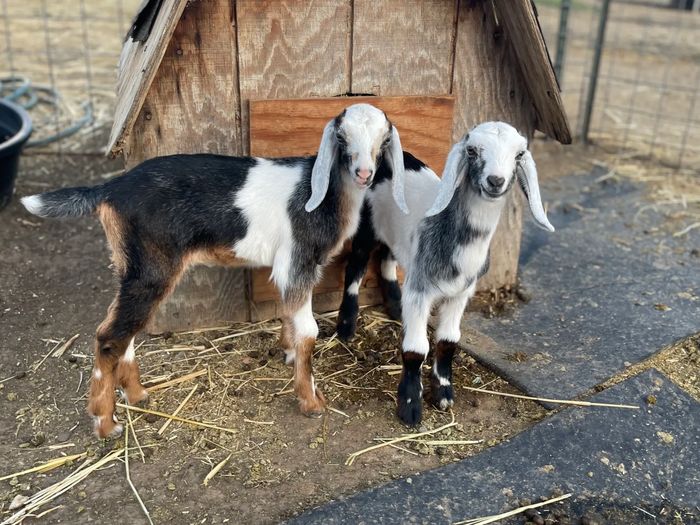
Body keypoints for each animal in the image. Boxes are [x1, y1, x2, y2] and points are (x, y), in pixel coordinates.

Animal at [21, 103, 407, 438]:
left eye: (384, 139)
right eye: (341, 137)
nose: (363, 173)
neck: (322, 192)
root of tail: (110, 189)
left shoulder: (289, 268)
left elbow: (287, 314)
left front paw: (287, 354)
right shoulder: (299, 261)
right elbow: (309, 331)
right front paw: (311, 401)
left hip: (131, 265)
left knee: (124, 328)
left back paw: (136, 395)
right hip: (153, 266)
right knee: (109, 335)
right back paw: (105, 423)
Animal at [336, 122, 554, 425]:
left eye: (519, 153)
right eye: (472, 150)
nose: (495, 181)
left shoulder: (461, 294)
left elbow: (449, 341)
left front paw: (444, 394)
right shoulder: (420, 290)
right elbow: (416, 349)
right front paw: (410, 407)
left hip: (398, 236)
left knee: (387, 258)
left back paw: (396, 306)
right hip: (366, 226)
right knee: (355, 266)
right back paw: (346, 327)